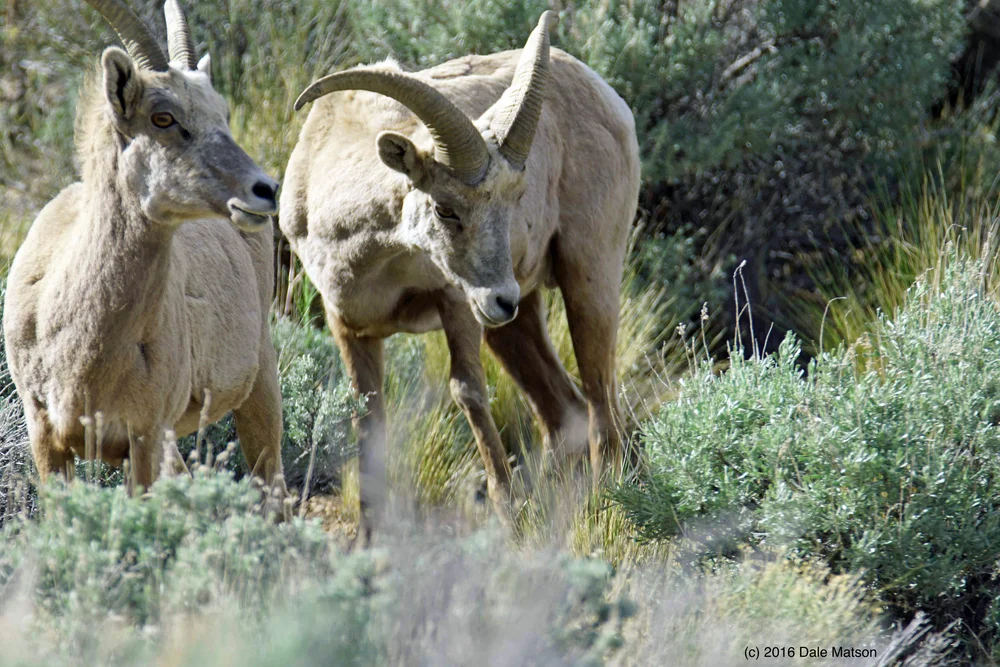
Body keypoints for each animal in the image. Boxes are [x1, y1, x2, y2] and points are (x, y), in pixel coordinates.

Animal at [2, 0, 286, 494]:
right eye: (163, 117)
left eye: (223, 113)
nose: (265, 190)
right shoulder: (47, 439)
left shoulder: (146, 436)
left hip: (260, 388)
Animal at [283, 11, 641, 539]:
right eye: (445, 208)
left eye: (514, 199)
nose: (502, 299)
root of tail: (608, 97)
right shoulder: (349, 327)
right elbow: (368, 419)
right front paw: (368, 538)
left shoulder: (456, 305)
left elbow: (468, 392)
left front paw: (509, 516)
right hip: (515, 326)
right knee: (564, 412)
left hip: (586, 281)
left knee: (600, 404)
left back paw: (605, 507)